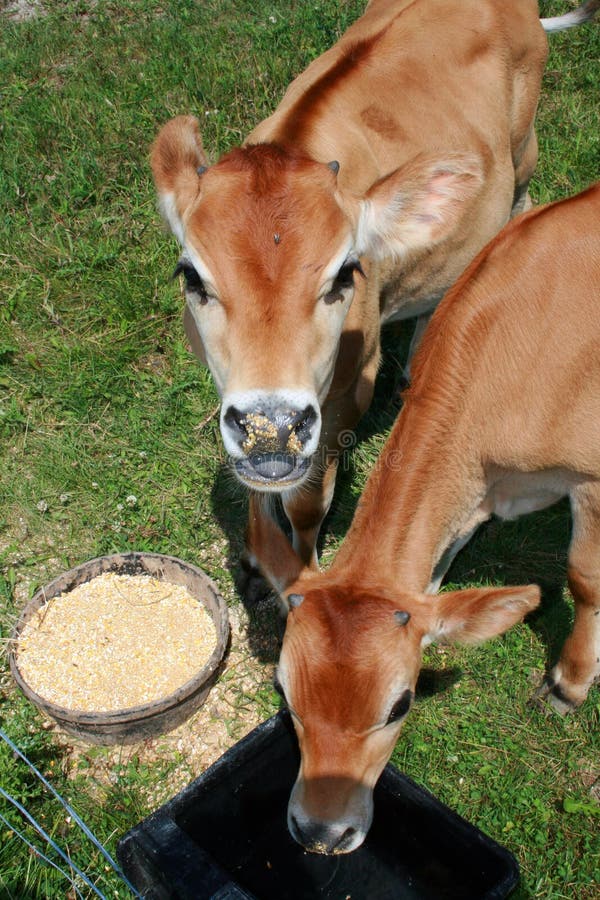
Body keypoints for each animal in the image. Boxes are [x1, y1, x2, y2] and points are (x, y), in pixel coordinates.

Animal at [151, 0, 599, 576]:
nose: (273, 423)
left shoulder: (350, 388)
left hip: (525, 152)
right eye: (191, 275)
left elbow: (306, 502)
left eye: (345, 273)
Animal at [247, 182, 600, 854]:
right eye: (285, 693)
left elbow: (583, 579)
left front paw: (567, 685)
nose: (321, 831)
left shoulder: (590, 477)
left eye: (400, 706)